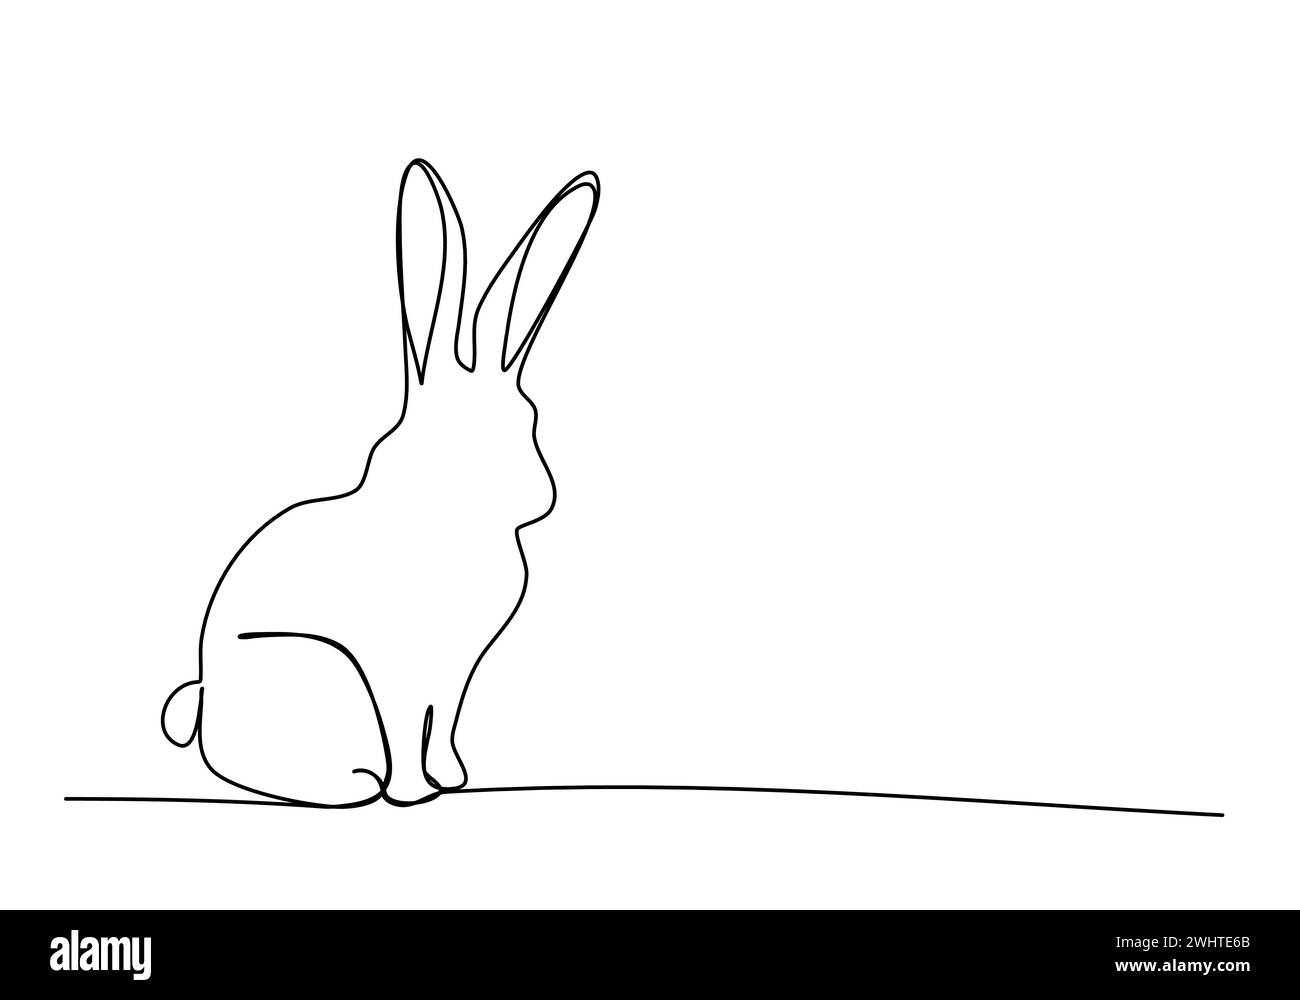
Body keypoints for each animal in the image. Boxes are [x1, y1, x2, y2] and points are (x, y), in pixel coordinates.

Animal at [160, 159, 600, 805]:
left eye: (531, 422)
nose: (545, 497)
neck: (437, 512)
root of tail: (205, 703)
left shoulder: (452, 671)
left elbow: (443, 722)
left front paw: (453, 780)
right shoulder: (396, 665)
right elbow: (404, 722)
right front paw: (414, 793)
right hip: (316, 669)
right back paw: (353, 784)